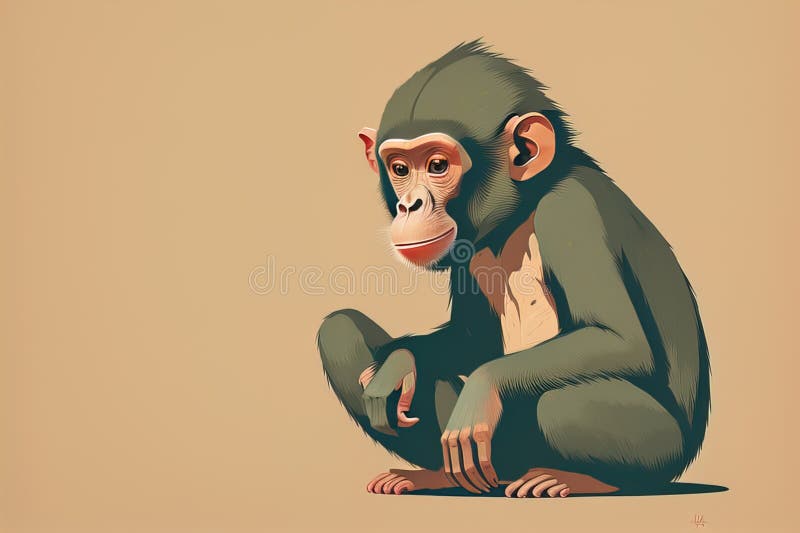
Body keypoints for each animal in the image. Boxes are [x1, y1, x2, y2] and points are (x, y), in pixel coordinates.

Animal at [317, 40, 710, 497]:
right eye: (400, 169)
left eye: (437, 165)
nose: (409, 204)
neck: (519, 212)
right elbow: (468, 338)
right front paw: (398, 362)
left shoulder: (573, 211)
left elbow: (621, 339)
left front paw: (479, 389)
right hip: (499, 459)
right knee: (338, 330)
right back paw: (432, 473)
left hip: (656, 449)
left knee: (564, 403)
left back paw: (579, 478)